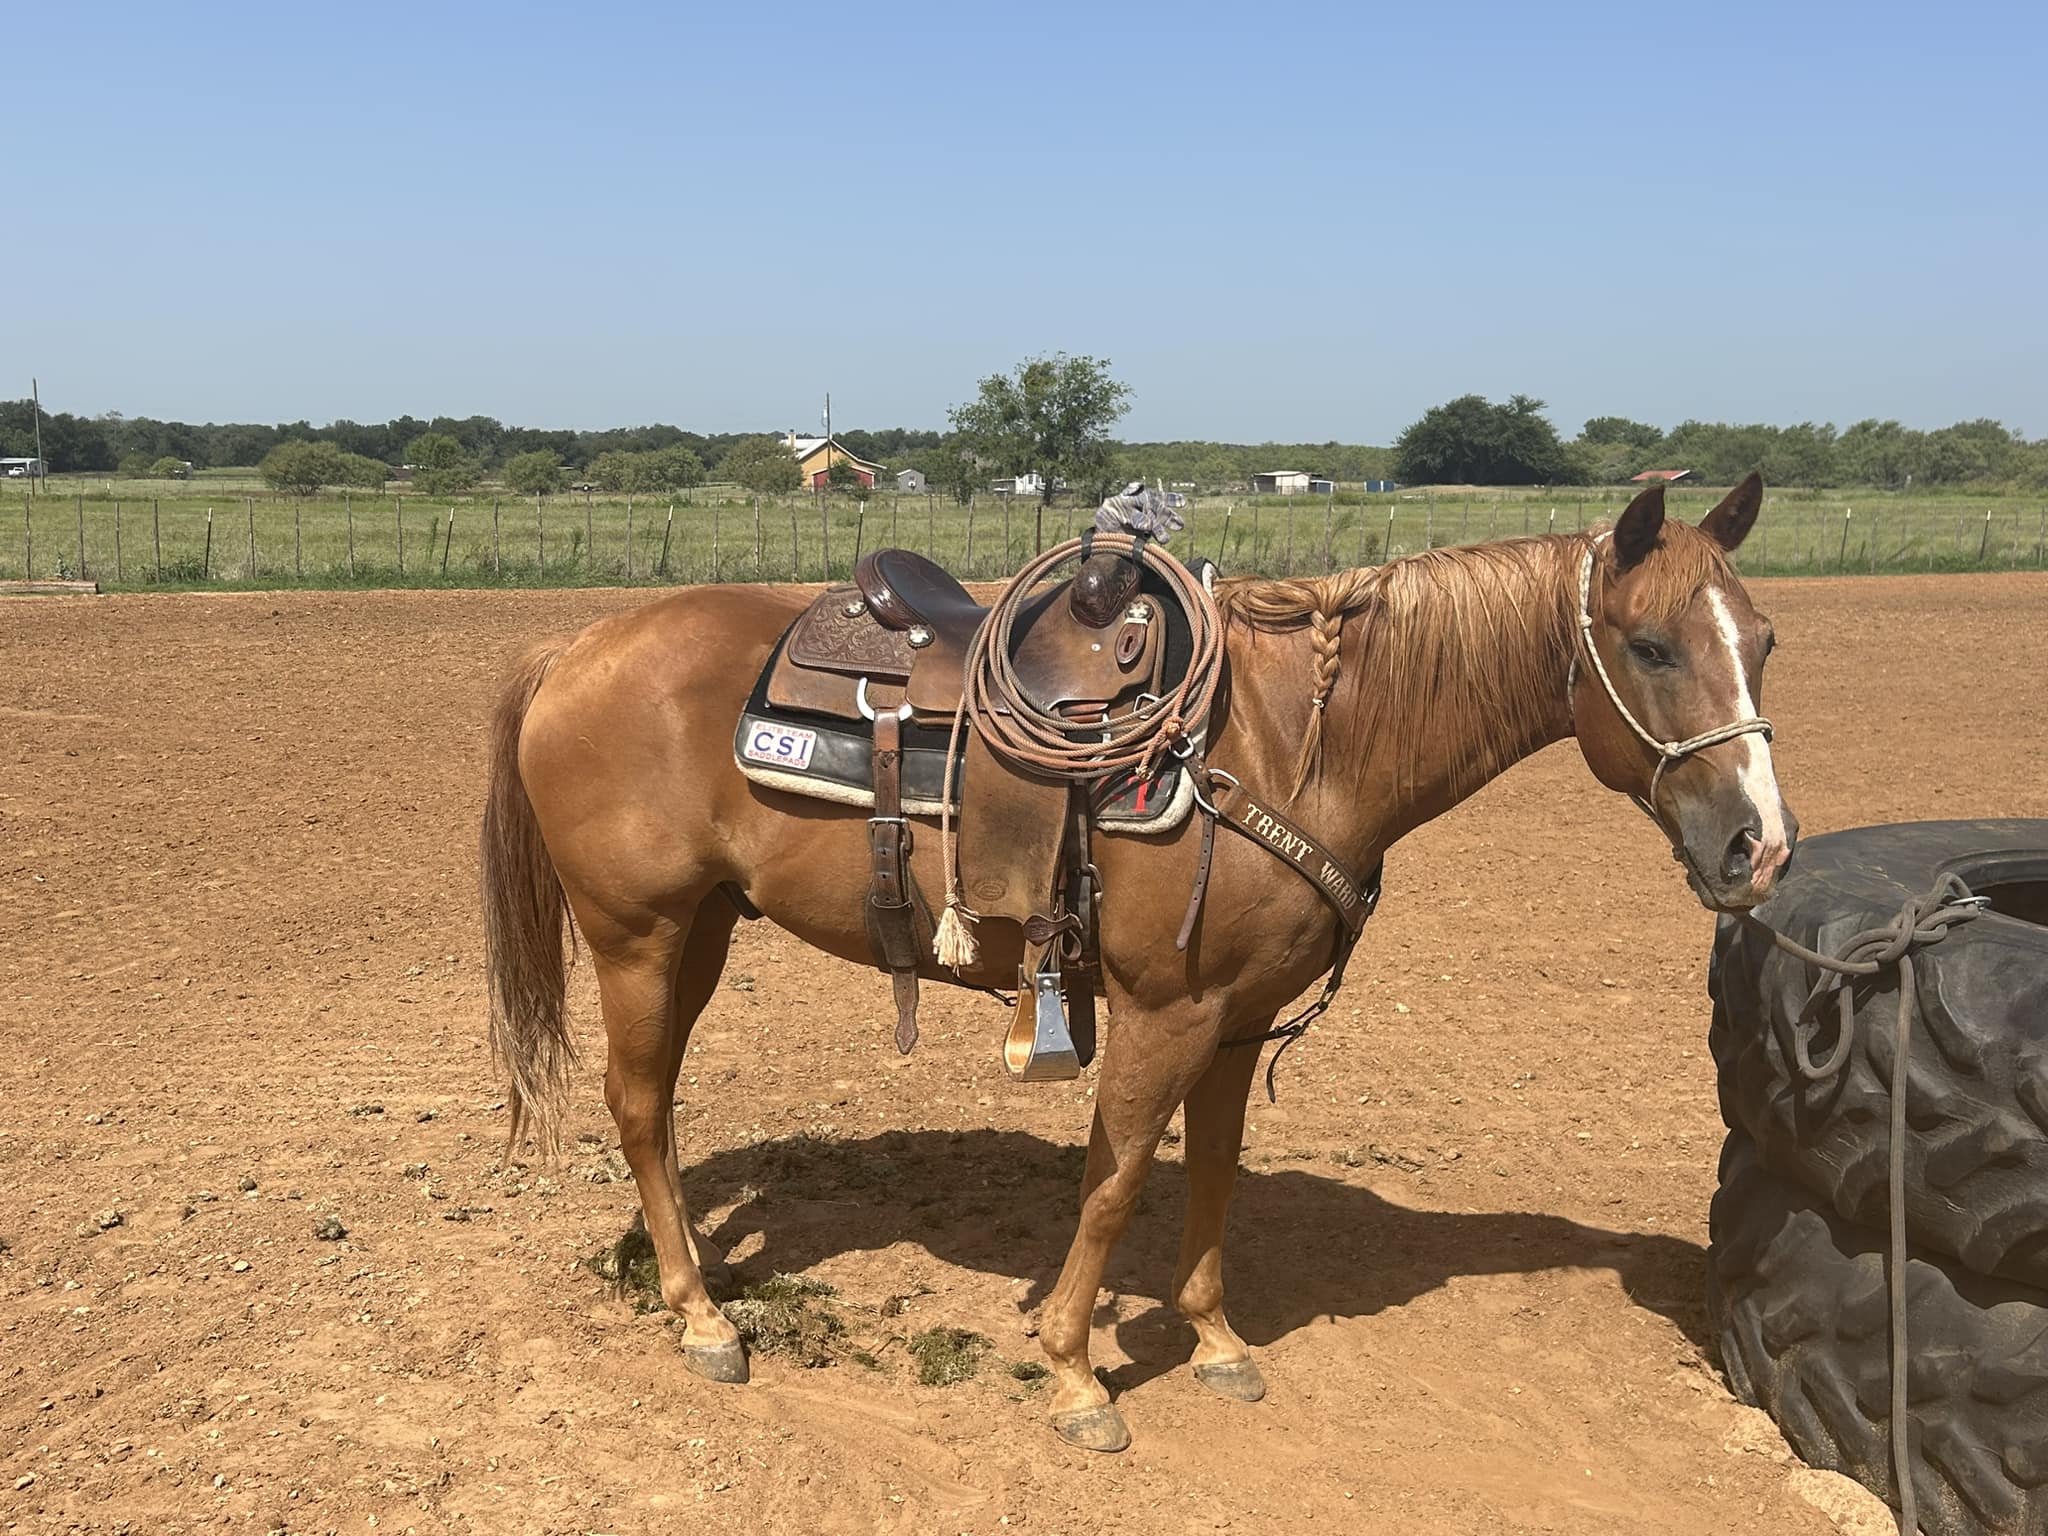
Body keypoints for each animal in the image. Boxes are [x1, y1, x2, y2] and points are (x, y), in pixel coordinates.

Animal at [478, 473, 1795, 1451]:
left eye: (1764, 640)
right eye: (1647, 645)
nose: (1760, 846)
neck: (1280, 742)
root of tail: (577, 645)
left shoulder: (1240, 1017)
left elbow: (1210, 1173)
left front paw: (1213, 1342)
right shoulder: (1167, 1009)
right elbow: (1113, 1182)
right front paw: (1073, 1375)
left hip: (703, 927)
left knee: (656, 1103)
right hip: (636, 932)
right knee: (637, 1103)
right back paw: (699, 1315)